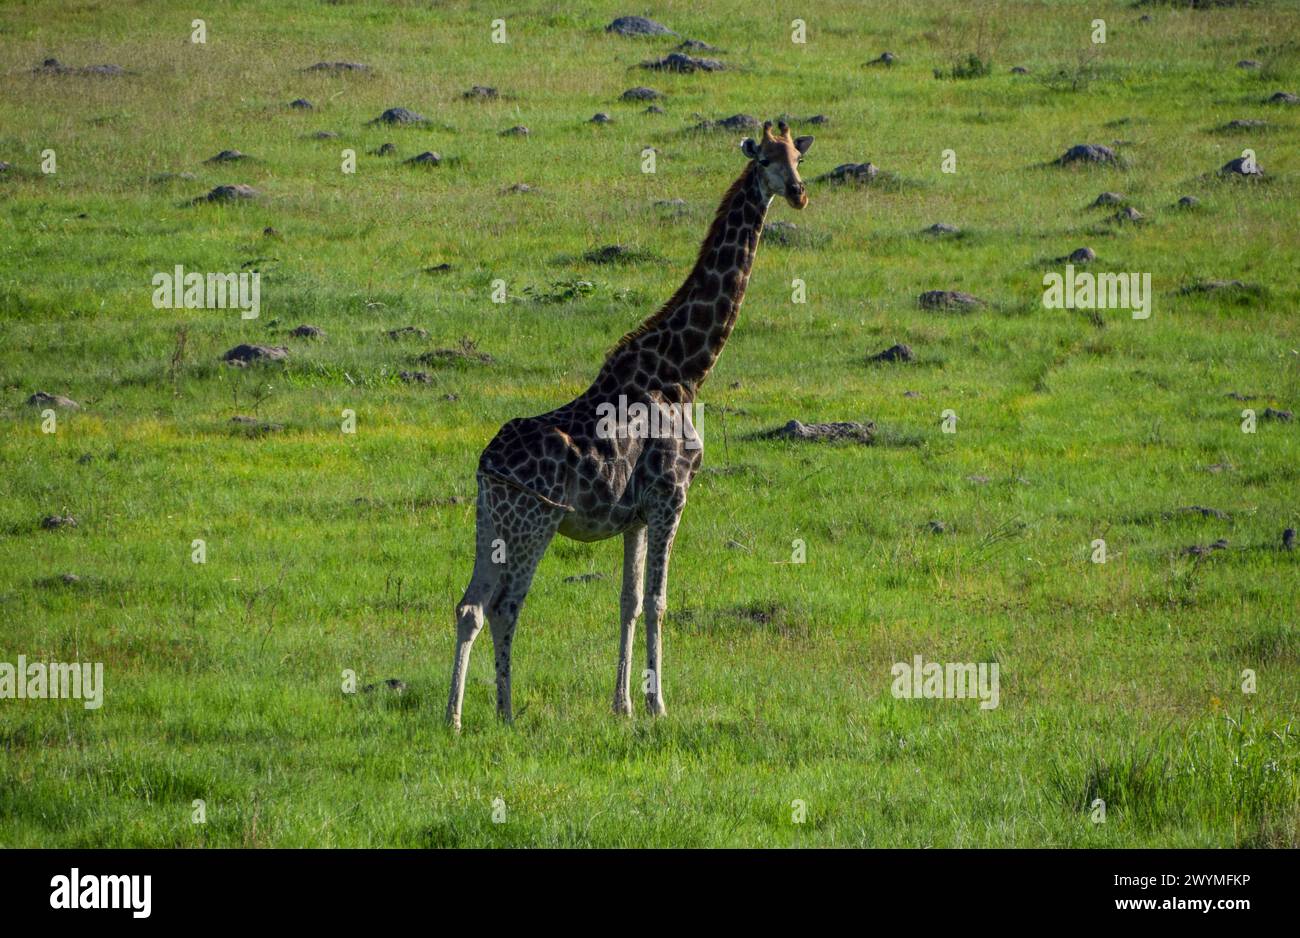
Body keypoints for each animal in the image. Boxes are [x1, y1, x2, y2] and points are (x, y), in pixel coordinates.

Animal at [445, 120, 813, 730]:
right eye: (764, 159)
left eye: (797, 158)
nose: (799, 193)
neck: (685, 370)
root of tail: (485, 465)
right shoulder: (672, 495)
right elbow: (660, 602)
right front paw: (658, 704)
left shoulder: (635, 516)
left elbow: (629, 601)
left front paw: (621, 705)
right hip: (533, 522)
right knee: (506, 606)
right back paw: (505, 713)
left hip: (489, 521)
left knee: (470, 606)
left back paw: (454, 718)